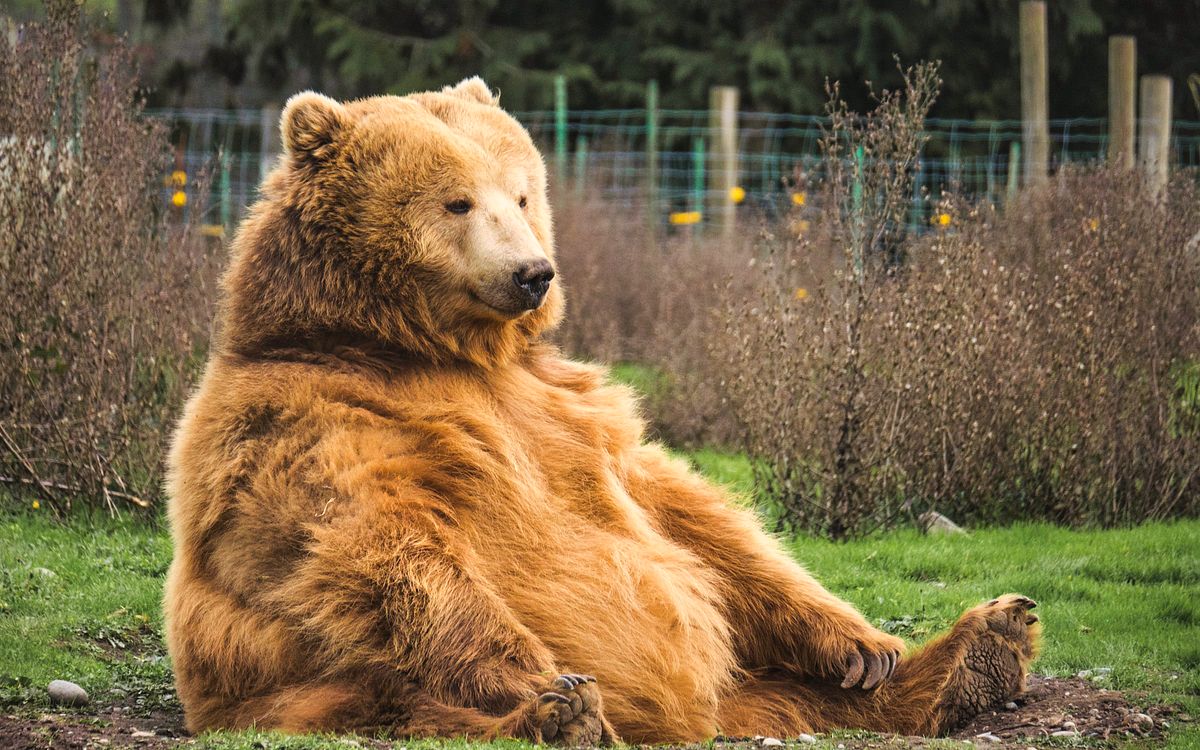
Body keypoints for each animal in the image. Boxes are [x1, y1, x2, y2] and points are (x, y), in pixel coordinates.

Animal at [163, 77, 1040, 744]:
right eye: (456, 202)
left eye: (521, 192)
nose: (532, 272)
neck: (430, 348)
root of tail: (694, 719)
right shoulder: (313, 419)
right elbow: (381, 546)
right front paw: (544, 682)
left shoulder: (569, 408)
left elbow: (689, 514)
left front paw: (862, 644)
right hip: (304, 686)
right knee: (406, 701)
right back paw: (563, 716)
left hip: (749, 682)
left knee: (799, 691)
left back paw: (976, 651)